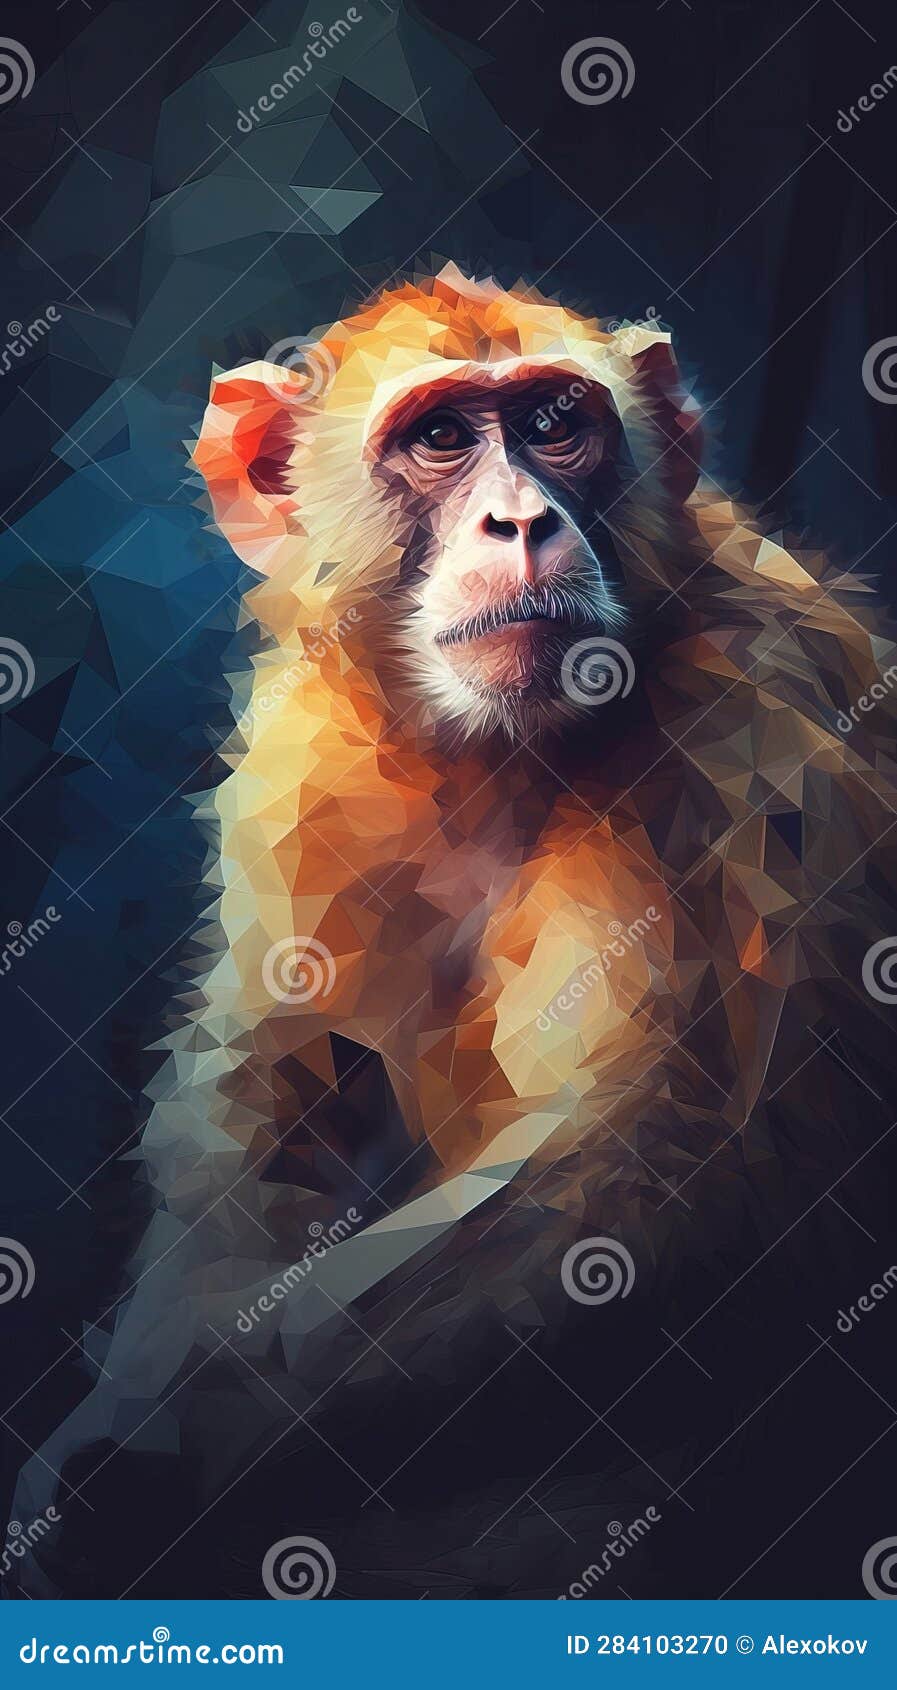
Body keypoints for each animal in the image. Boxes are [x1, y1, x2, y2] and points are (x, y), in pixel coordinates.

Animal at [10, 264, 897, 1600]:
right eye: (440, 439)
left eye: (554, 423)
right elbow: (281, 1075)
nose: (520, 523)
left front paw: (172, 1454)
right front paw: (128, 1409)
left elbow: (654, 1180)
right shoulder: (310, 747)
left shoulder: (756, 726)